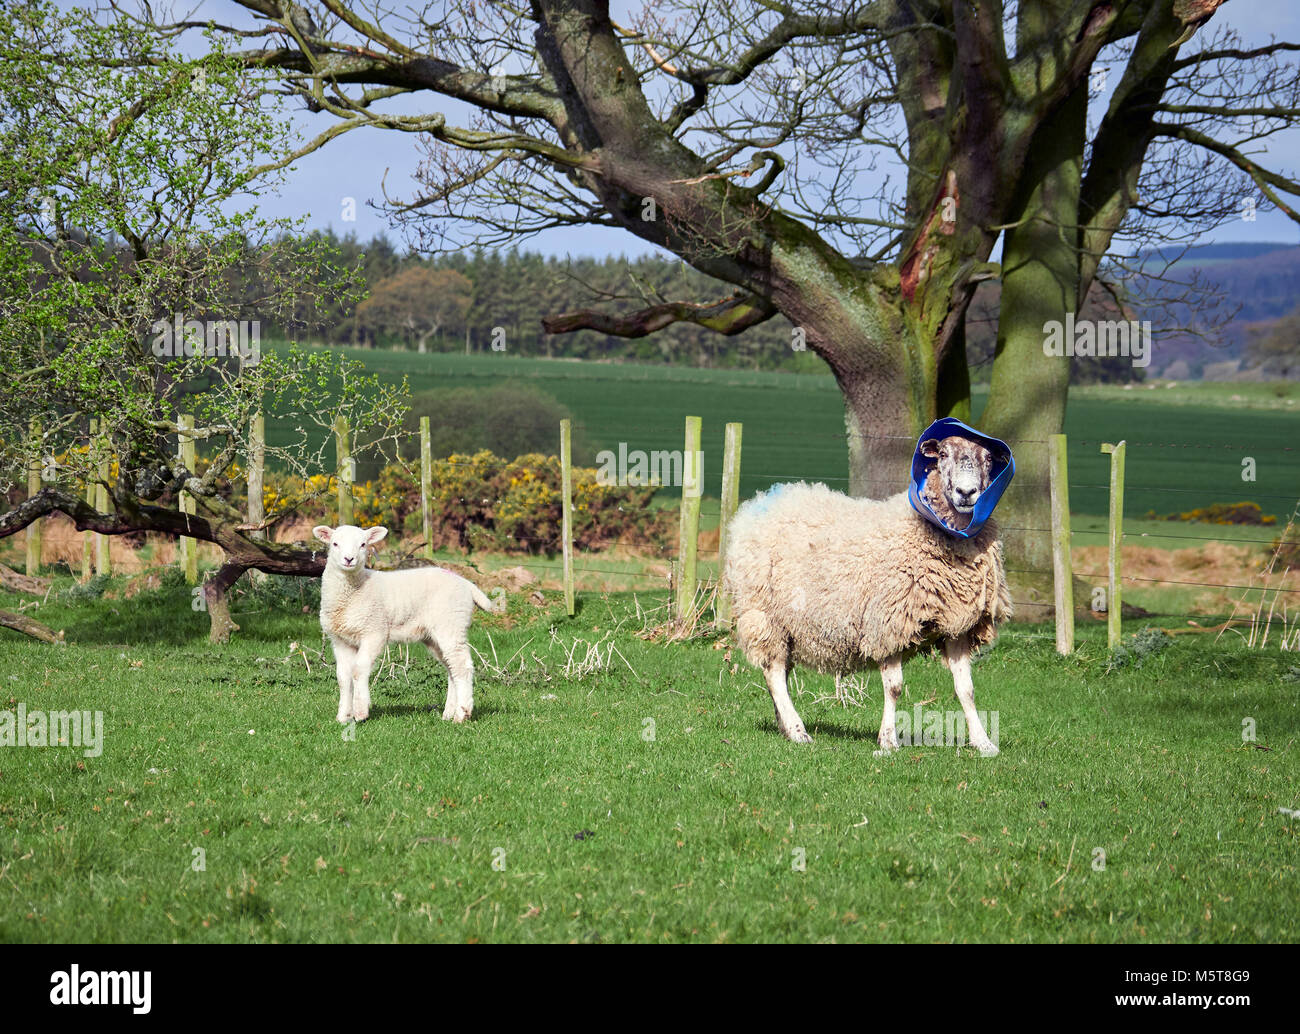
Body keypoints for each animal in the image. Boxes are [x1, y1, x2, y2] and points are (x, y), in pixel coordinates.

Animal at [312, 524, 499, 724]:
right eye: (335, 543)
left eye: (363, 544)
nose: (349, 559)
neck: (354, 591)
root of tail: (466, 583)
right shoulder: (340, 640)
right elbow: (343, 677)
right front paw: (343, 717)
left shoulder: (374, 632)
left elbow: (358, 670)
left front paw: (360, 712)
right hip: (434, 635)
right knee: (451, 668)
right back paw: (448, 713)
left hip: (451, 624)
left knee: (462, 666)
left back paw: (462, 714)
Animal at [723, 434, 1011, 756]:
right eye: (943, 454)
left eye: (988, 458)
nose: (966, 492)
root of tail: (759, 503)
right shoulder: (889, 622)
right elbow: (894, 687)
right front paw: (887, 741)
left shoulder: (958, 624)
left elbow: (966, 689)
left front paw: (983, 742)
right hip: (764, 612)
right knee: (774, 672)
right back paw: (798, 731)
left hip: (788, 625)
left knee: (779, 672)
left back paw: (784, 725)